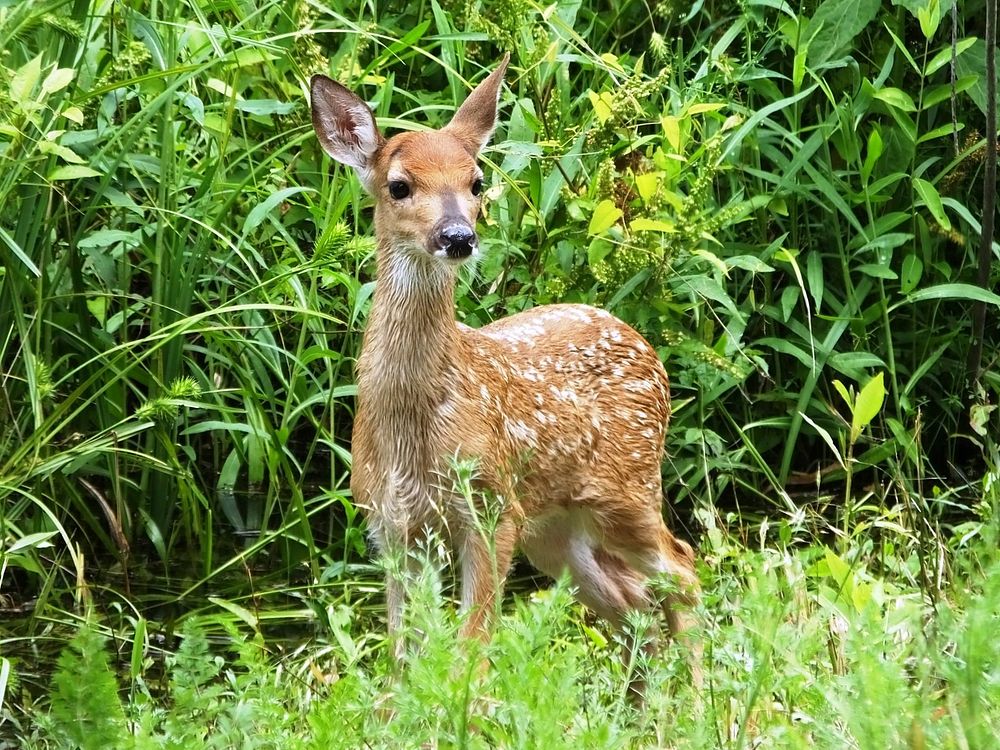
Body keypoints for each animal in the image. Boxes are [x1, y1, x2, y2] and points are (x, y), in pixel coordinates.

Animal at [309, 53, 700, 692]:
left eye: (475, 182)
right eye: (399, 185)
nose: (457, 237)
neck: (414, 424)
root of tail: (644, 346)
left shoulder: (492, 508)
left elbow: (473, 650)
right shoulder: (391, 527)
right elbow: (402, 660)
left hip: (628, 489)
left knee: (681, 570)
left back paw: (701, 698)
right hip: (556, 528)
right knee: (632, 606)